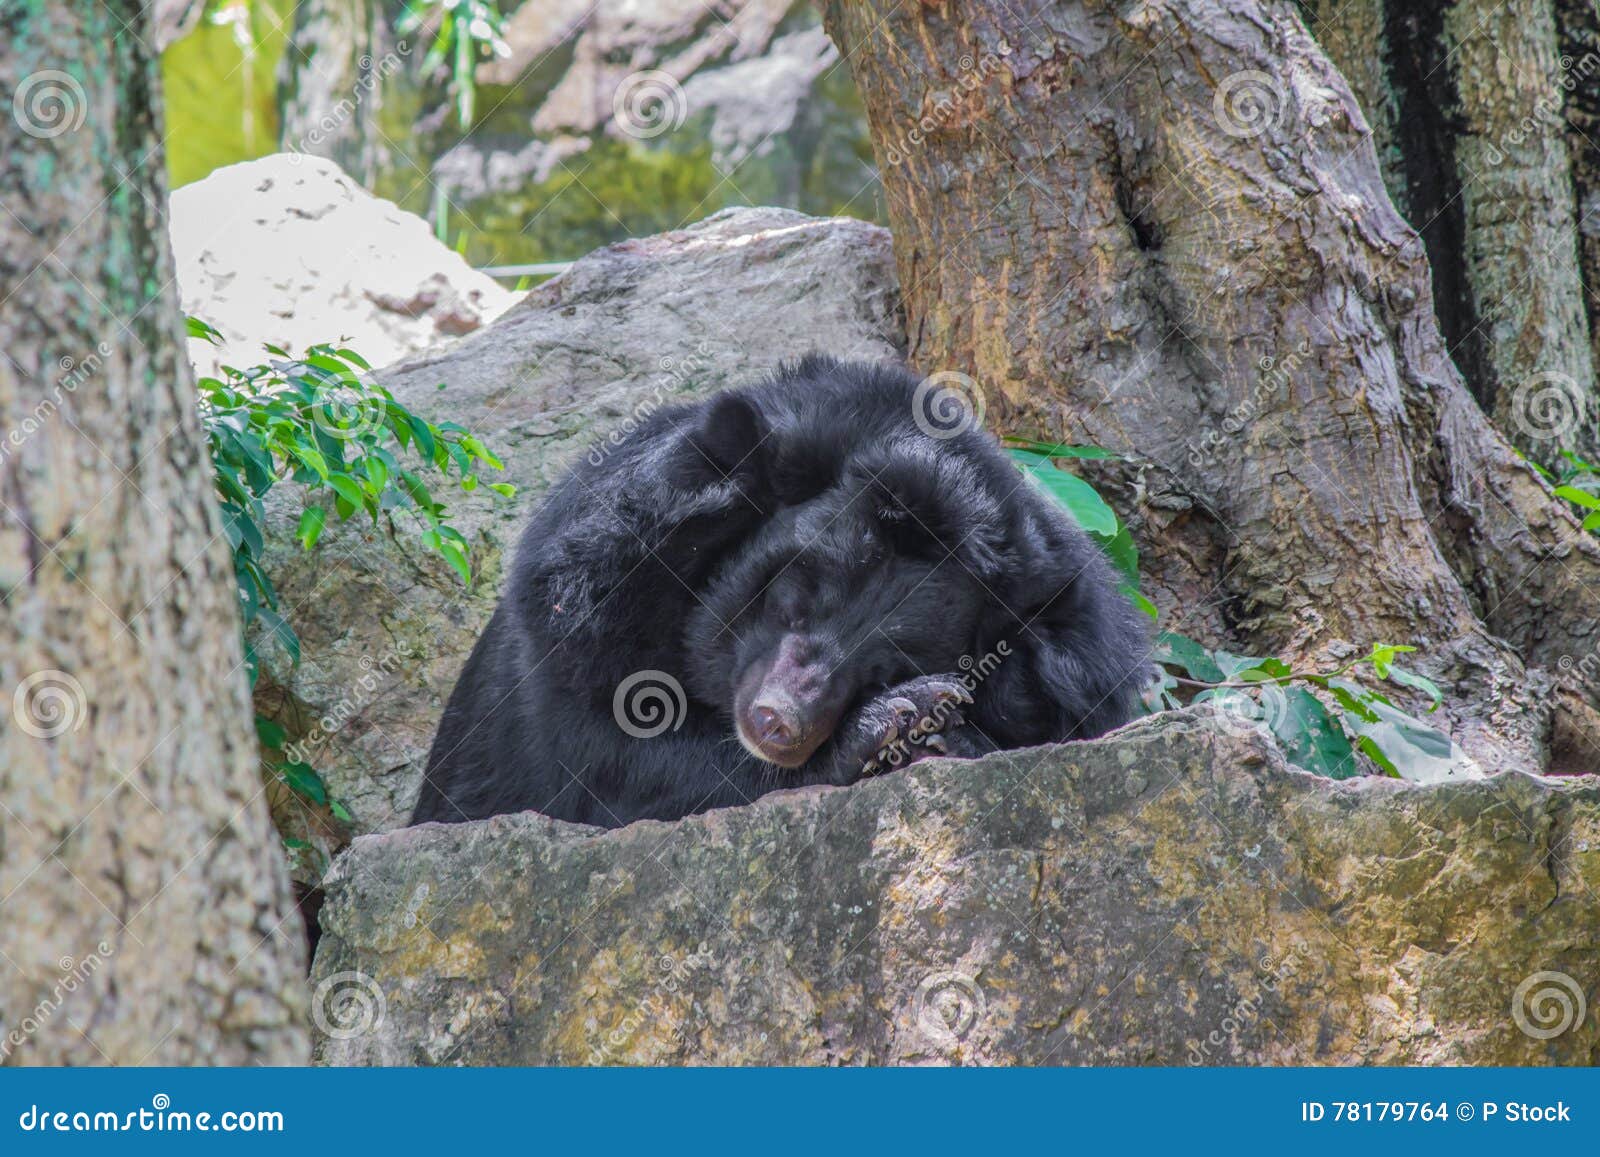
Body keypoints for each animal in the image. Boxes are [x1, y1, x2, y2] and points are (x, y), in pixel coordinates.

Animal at [409, 356, 1149, 828]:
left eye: (890, 665)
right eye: (791, 602)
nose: (777, 723)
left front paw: (934, 727)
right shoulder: (577, 615)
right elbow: (625, 769)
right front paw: (887, 728)